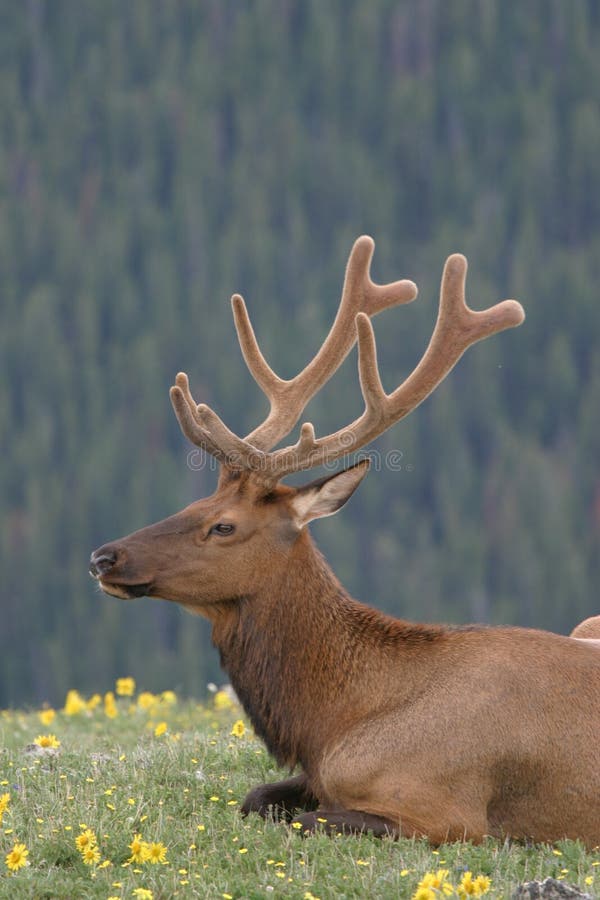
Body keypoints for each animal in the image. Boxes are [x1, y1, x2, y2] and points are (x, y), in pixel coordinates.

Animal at [90, 237, 600, 846]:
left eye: (223, 525)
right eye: (192, 506)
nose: (104, 556)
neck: (335, 724)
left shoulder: (447, 814)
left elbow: (307, 819)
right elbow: (255, 798)